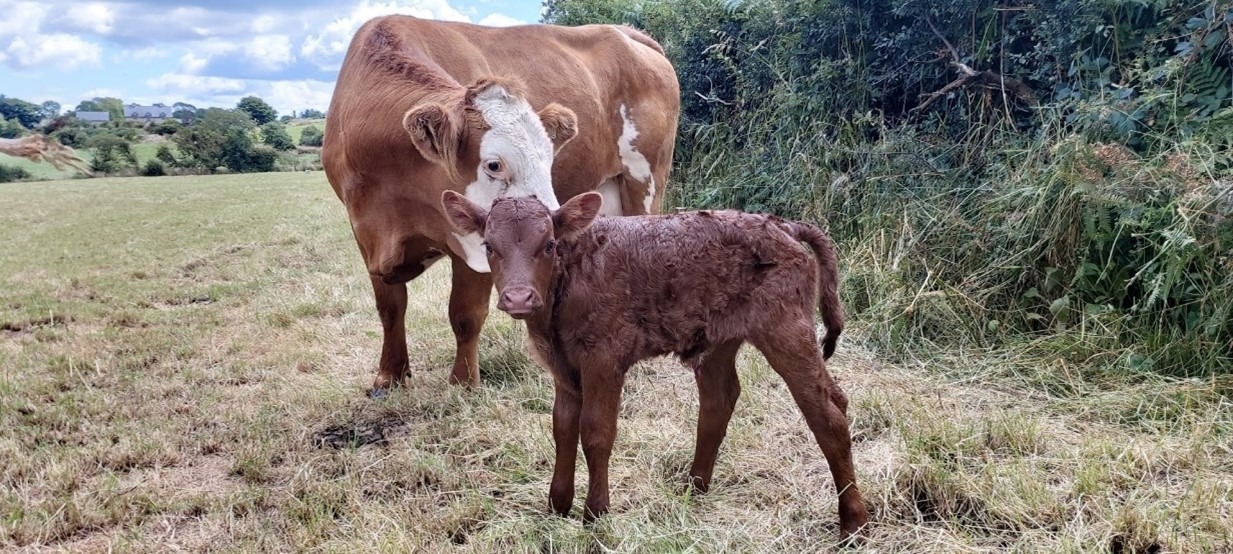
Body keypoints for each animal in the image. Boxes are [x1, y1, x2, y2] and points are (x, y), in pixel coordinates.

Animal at [322, 16, 680, 395]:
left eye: (549, 158)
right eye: (494, 164)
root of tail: (626, 32)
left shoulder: (472, 243)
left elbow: (465, 314)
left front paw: (464, 385)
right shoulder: (366, 234)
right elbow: (390, 307)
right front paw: (389, 376)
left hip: (644, 183)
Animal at [440, 191, 870, 540]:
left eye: (548, 245)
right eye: (489, 246)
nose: (518, 297)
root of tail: (784, 225)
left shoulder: (604, 357)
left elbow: (596, 431)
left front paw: (595, 515)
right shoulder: (561, 365)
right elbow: (562, 427)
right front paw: (556, 507)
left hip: (786, 328)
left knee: (828, 410)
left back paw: (854, 523)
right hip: (719, 338)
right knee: (719, 400)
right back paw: (694, 488)